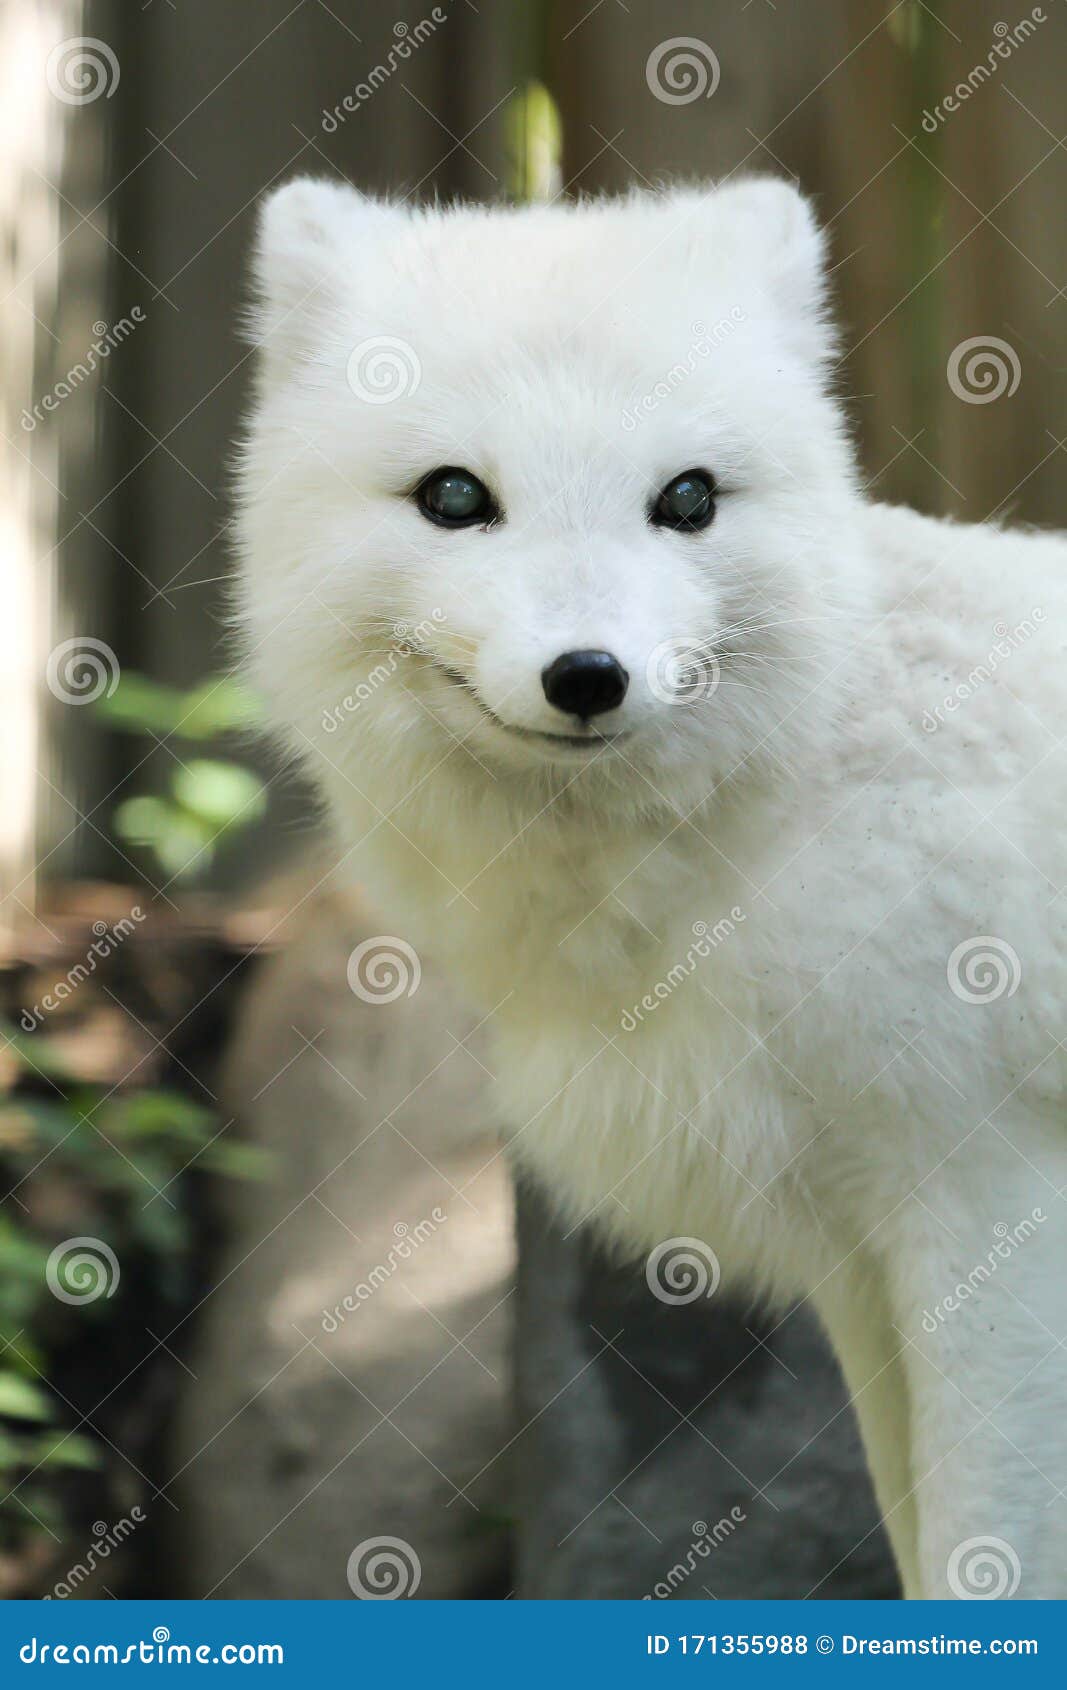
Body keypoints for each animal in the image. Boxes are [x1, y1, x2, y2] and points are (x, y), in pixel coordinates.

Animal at [234, 175, 1067, 1600]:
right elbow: (920, 1551)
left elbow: (986, 1565)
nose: (588, 676)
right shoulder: (859, 1265)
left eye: (685, 499)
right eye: (452, 495)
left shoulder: (990, 1219)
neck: (795, 801)